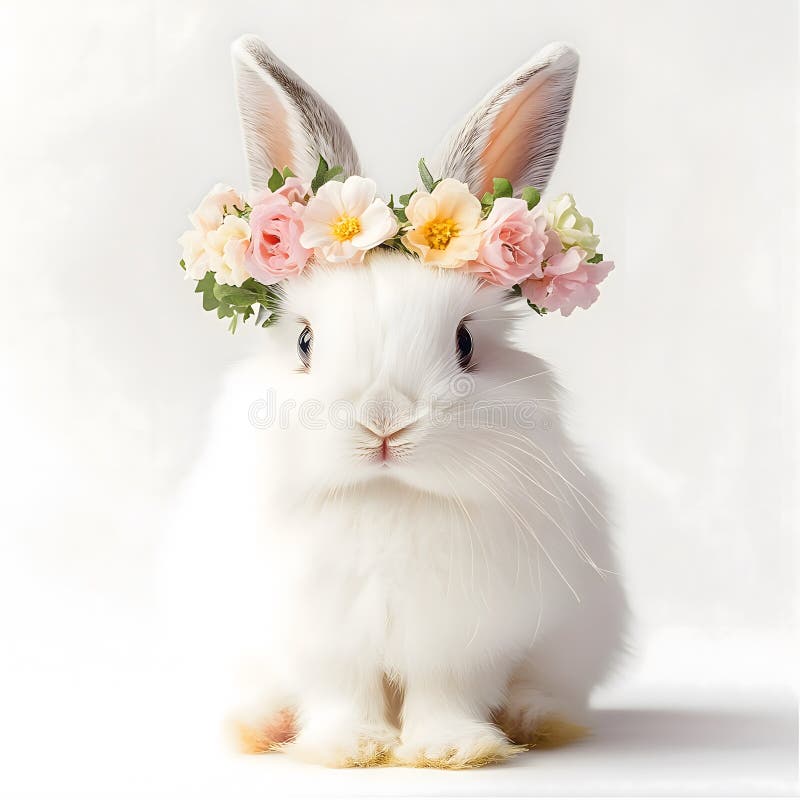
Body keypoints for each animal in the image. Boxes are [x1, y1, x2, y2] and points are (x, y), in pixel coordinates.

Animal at [160, 34, 627, 770]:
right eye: (304, 341)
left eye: (465, 342)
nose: (384, 423)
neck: (386, 501)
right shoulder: (322, 640)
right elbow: (340, 694)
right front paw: (348, 749)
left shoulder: (465, 641)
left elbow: (447, 694)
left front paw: (451, 750)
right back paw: (261, 727)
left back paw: (534, 720)